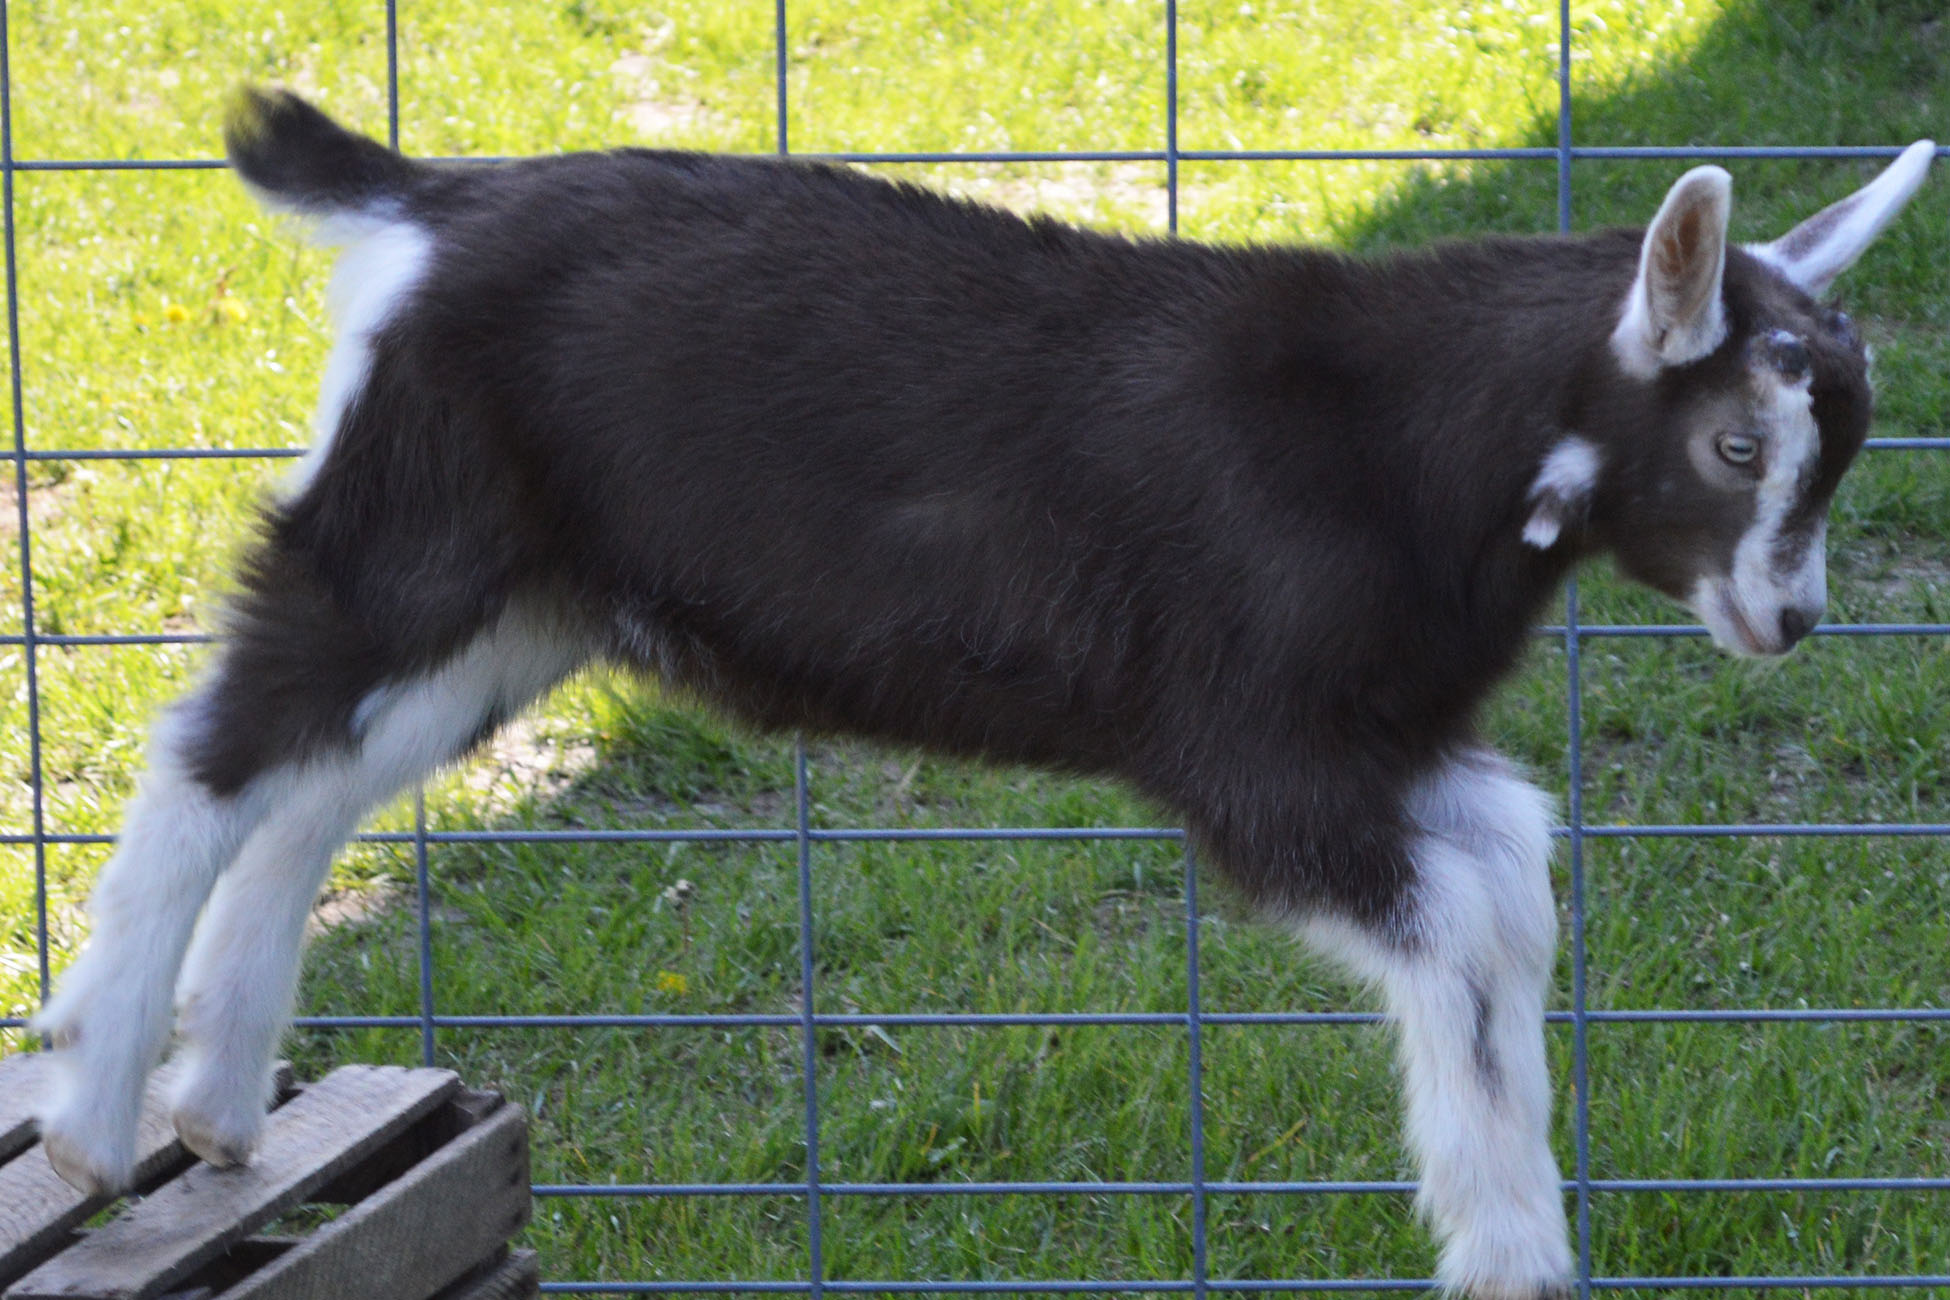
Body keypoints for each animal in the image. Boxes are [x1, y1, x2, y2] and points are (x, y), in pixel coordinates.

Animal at [33, 88, 1934, 1298]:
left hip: (520, 606)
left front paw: (1508, 1235)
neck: (1403, 440)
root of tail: (428, 205)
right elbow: (1469, 922)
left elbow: (1513, 893)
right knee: (215, 758)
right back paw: (96, 1123)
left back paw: (218, 1107)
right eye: (1739, 442)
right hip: (410, 534)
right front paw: (1507, 1253)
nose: (1789, 620)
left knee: (316, 786)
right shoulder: (1261, 756)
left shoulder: (1387, 749)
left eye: (1834, 445)